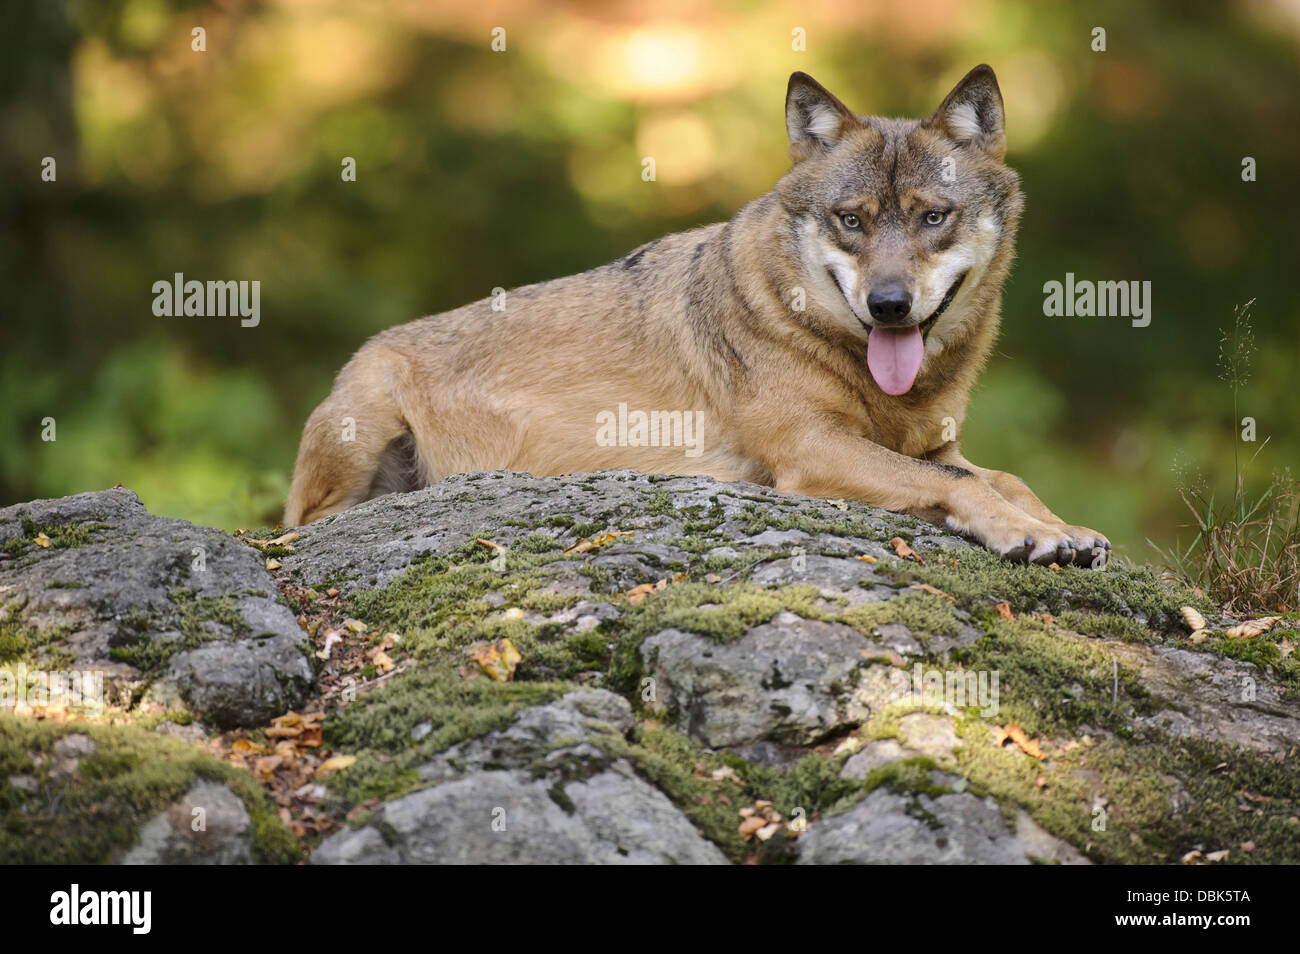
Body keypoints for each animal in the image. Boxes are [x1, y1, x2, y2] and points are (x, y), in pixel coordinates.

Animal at [285, 65, 1109, 566]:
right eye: (851, 220)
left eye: (933, 217)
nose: (888, 305)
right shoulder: (811, 448)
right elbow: (966, 487)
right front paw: (1028, 535)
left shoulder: (936, 447)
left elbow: (1005, 478)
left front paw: (1062, 528)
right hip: (363, 418)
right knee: (306, 525)